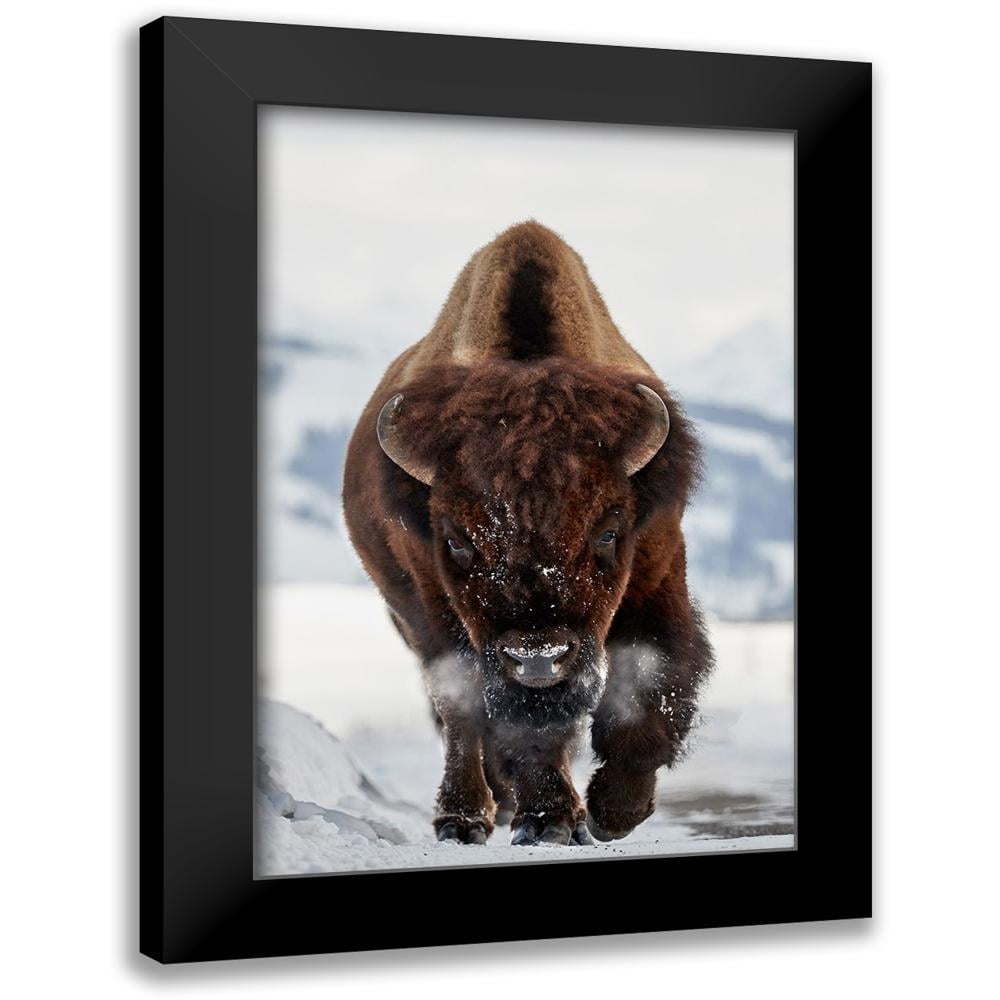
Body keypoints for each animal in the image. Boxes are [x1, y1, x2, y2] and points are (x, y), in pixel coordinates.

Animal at [343, 221, 713, 846]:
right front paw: (549, 819)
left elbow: (652, 679)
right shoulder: (440, 606)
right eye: (457, 540)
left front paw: (614, 811)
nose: (538, 658)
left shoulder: (658, 572)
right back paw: (466, 817)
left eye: (609, 531)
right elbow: (501, 717)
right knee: (460, 713)